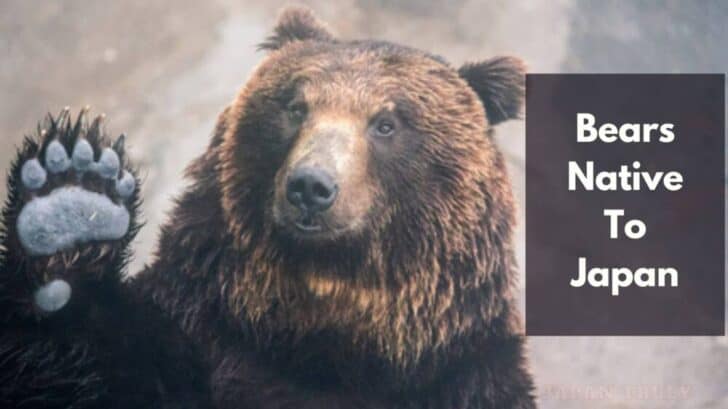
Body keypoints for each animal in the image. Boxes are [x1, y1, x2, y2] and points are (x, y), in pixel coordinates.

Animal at [0, 6, 535, 409]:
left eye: (386, 123)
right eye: (296, 107)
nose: (310, 186)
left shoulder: (465, 375)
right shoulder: (194, 330)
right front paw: (69, 206)